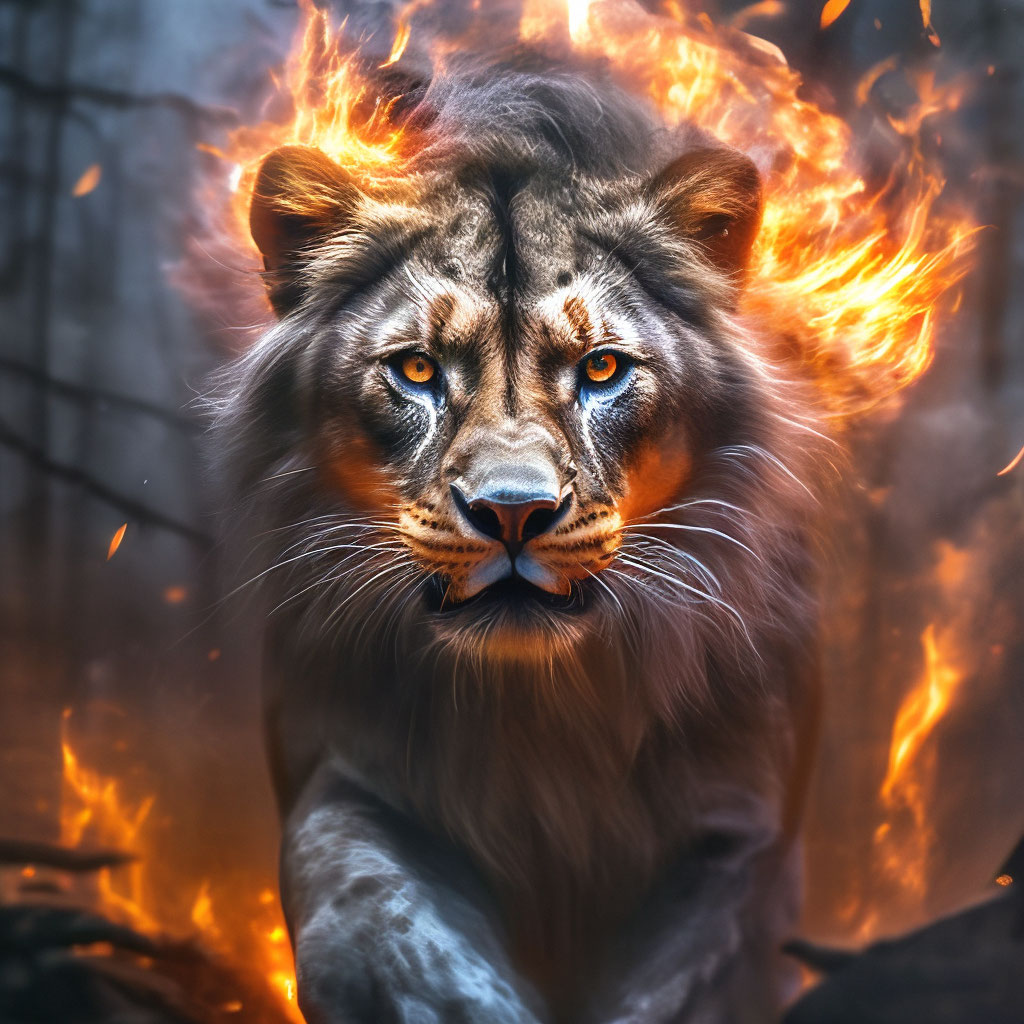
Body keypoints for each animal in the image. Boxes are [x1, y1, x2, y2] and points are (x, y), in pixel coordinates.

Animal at [214, 55, 823, 1024]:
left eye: (601, 368)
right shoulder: (342, 768)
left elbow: (682, 986)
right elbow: (377, 911)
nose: (511, 511)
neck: (535, 711)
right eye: (417, 369)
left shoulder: (739, 831)